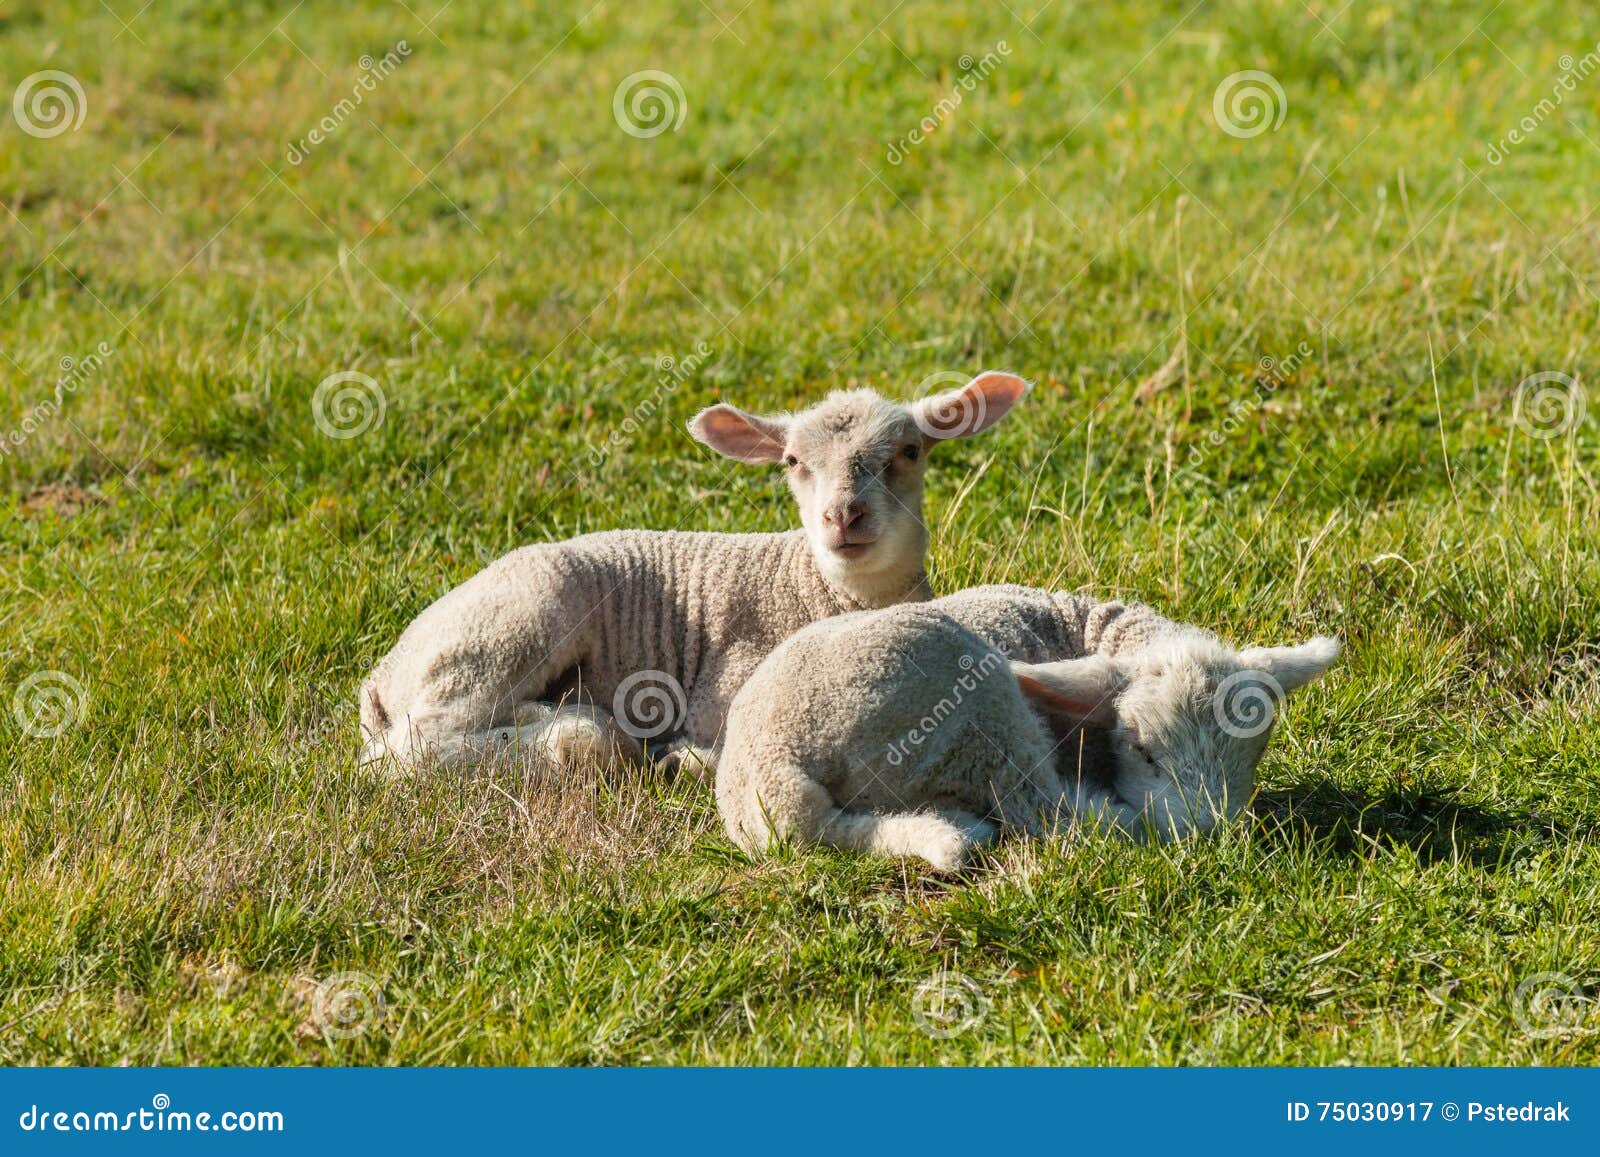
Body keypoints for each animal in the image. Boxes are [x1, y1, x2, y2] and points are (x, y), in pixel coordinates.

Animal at [357, 372, 1029, 773]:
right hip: (515, 621)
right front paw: (687, 756)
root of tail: (382, 676)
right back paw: (574, 734)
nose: (844, 516)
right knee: (409, 749)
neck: (823, 591)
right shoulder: (726, 685)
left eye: (909, 452)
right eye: (793, 462)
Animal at [714, 585, 1340, 871]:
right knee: (1044, 812)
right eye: (1145, 752)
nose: (1212, 835)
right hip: (971, 709)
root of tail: (773, 778)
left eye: (1252, 758)